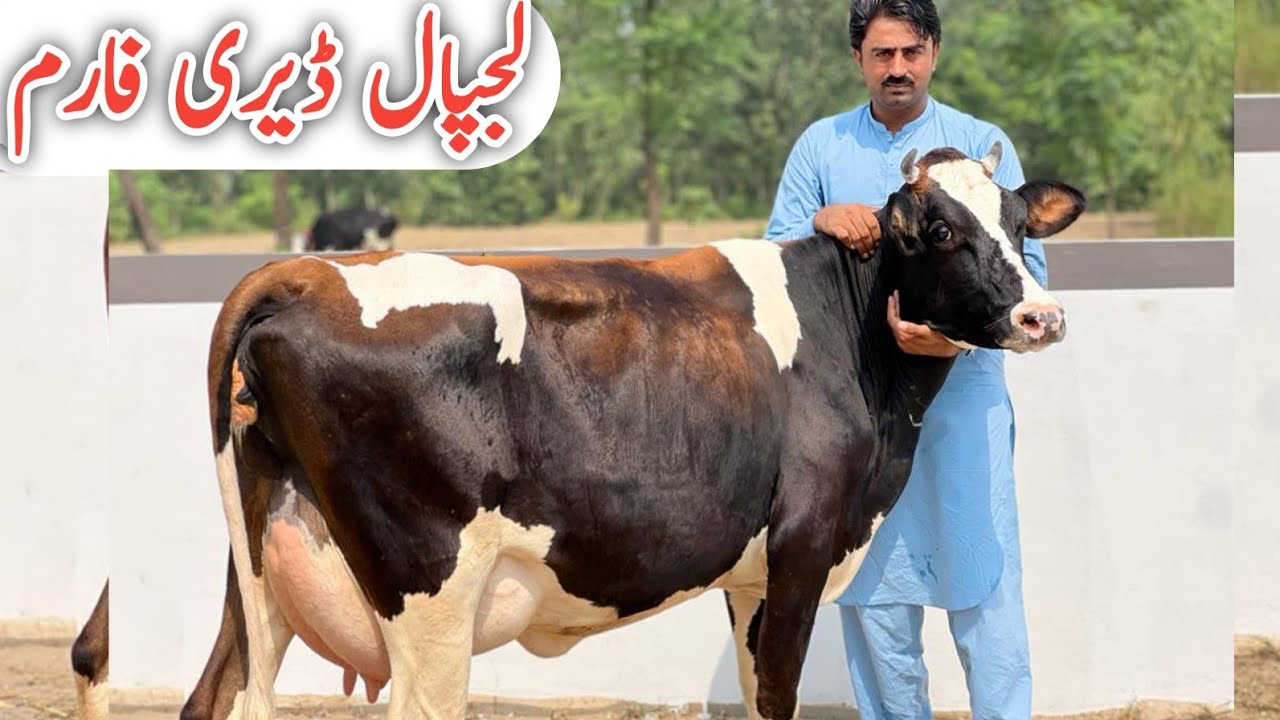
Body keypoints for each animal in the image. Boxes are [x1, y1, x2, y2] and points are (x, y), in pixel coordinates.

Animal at [181, 144, 1083, 720]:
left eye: (1018, 224)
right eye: (941, 231)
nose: (1042, 316)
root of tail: (310, 273)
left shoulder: (751, 575)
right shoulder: (802, 542)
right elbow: (779, 694)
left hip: (256, 571)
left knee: (217, 695)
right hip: (428, 586)